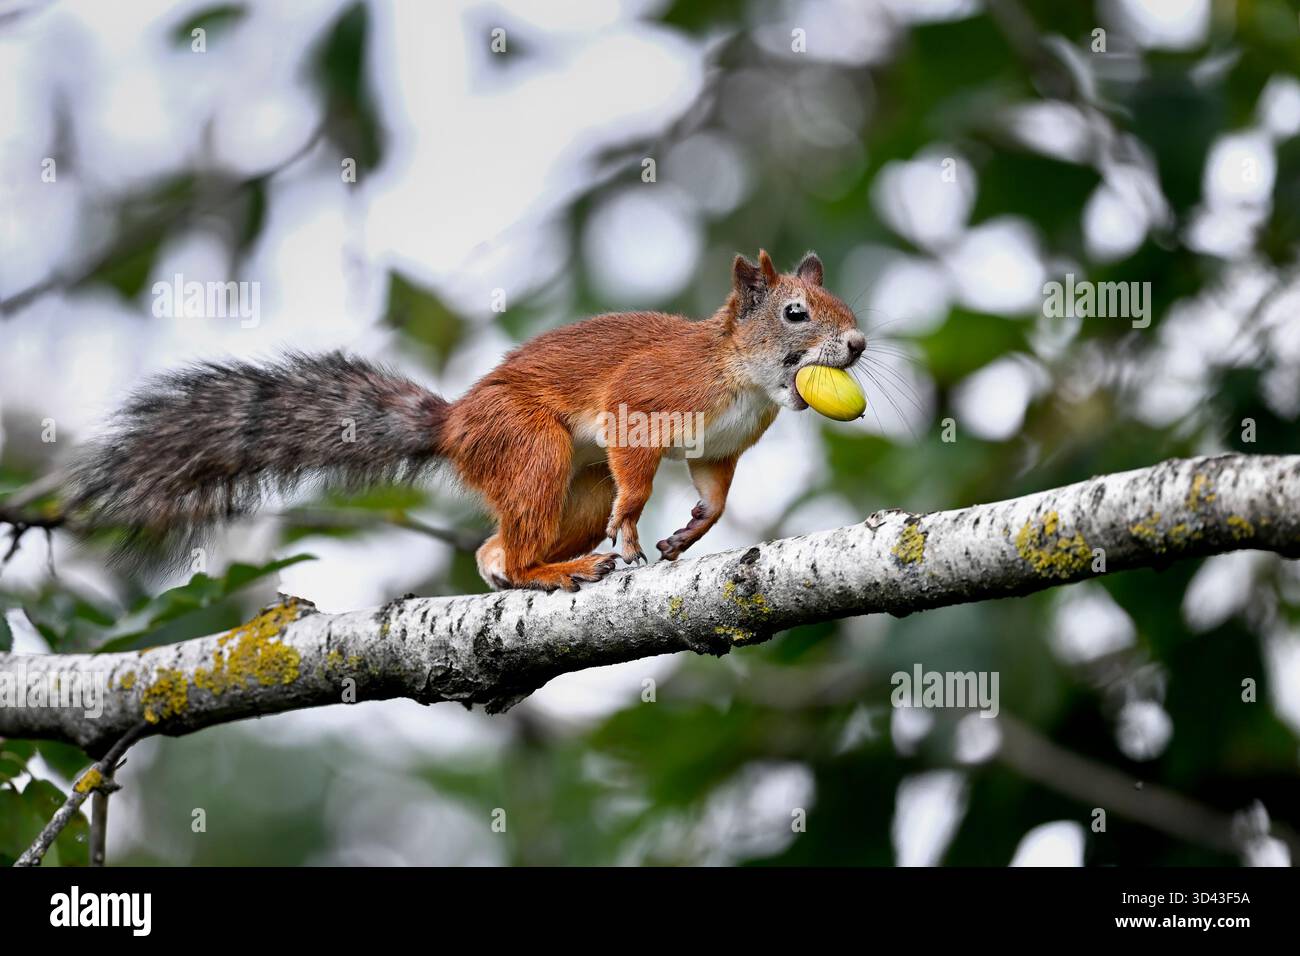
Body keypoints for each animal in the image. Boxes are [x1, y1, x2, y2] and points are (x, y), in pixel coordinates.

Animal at [67, 250, 865, 592]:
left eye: (846, 307)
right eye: (796, 313)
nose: (857, 344)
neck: (745, 379)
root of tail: (452, 426)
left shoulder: (720, 447)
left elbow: (714, 491)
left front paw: (691, 530)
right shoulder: (647, 399)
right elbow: (634, 459)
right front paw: (639, 526)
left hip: (575, 488)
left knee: (505, 541)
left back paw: (507, 565)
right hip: (530, 445)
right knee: (532, 528)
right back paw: (557, 569)